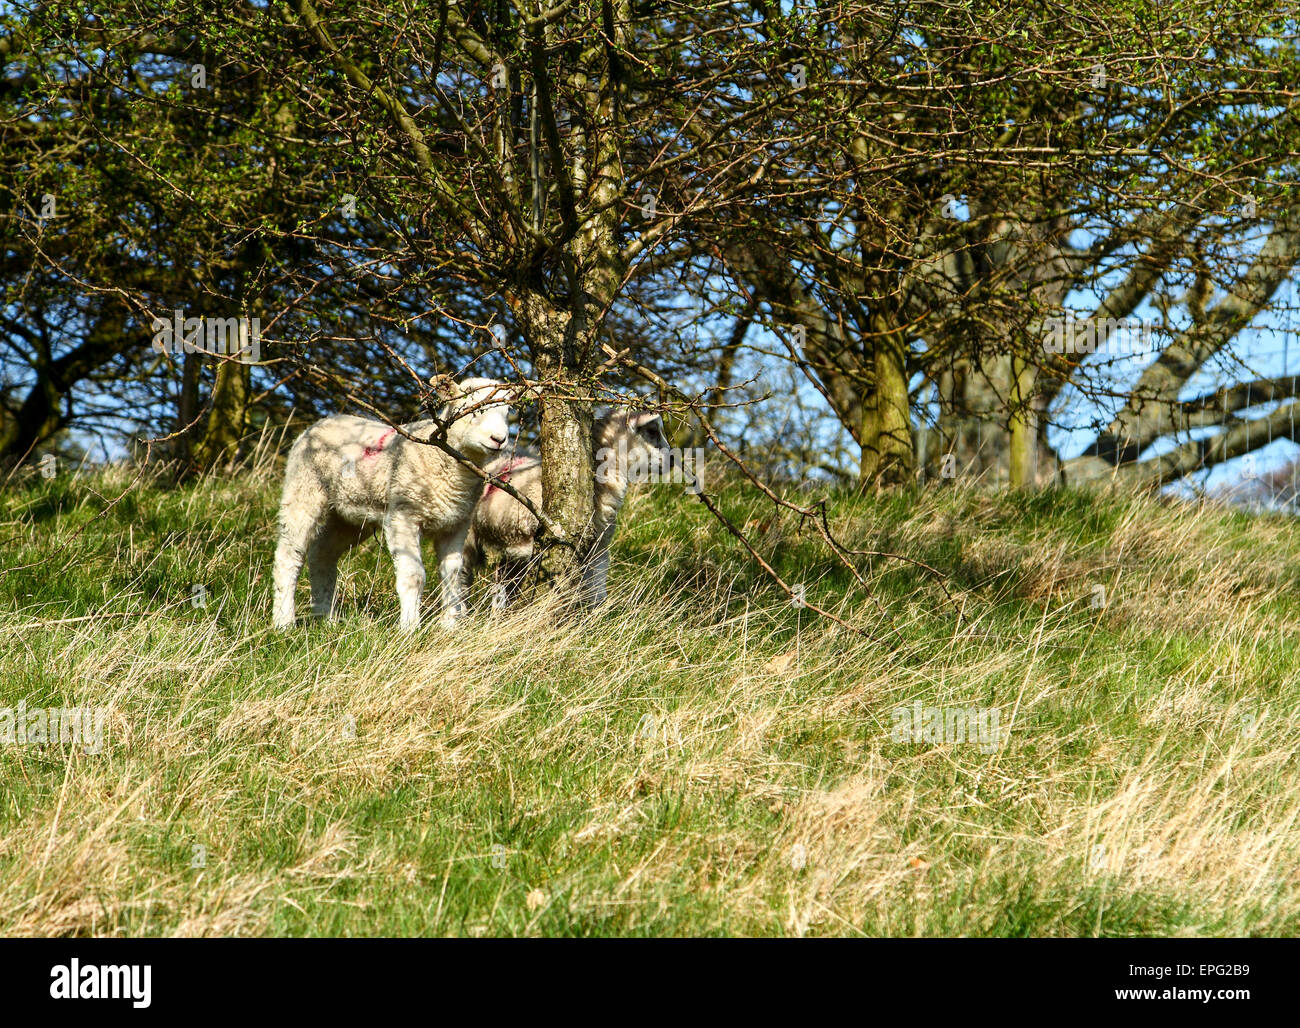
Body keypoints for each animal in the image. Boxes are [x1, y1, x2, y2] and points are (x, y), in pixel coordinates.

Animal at [272, 377, 513, 631]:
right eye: (474, 410)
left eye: (508, 412)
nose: (499, 439)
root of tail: (321, 422)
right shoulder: (403, 516)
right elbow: (414, 575)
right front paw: (410, 627)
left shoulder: (456, 524)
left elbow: (453, 574)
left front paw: (450, 625)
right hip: (304, 492)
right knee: (288, 556)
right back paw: (283, 622)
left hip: (347, 516)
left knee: (321, 555)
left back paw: (326, 618)